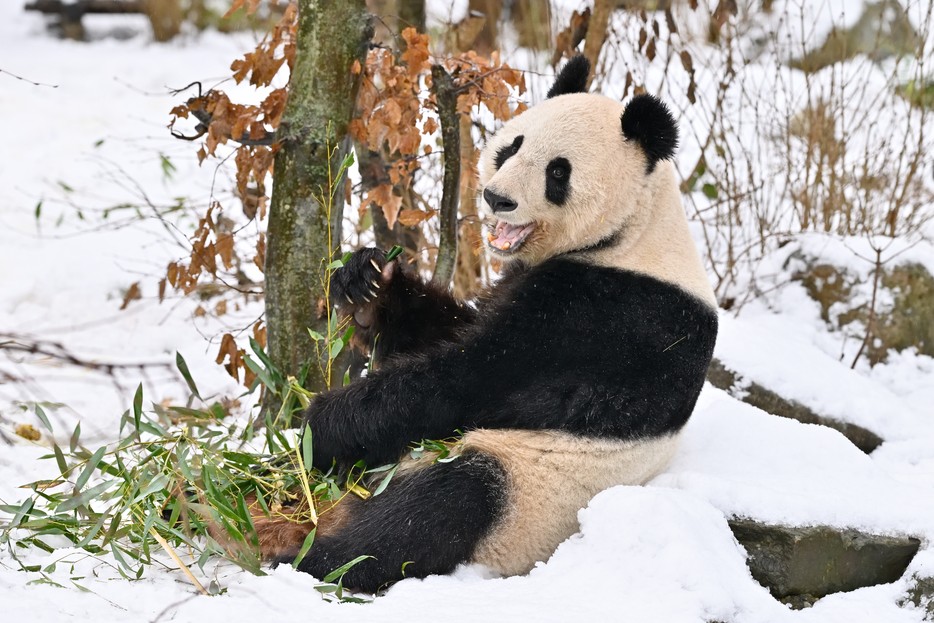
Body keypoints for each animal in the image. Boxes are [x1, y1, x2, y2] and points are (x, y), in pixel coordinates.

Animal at [252, 55, 718, 593]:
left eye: (558, 172)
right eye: (512, 146)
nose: (497, 198)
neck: (635, 232)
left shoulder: (609, 316)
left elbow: (470, 377)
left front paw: (323, 422)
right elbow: (449, 329)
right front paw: (368, 283)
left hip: (524, 492)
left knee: (435, 511)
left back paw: (307, 558)